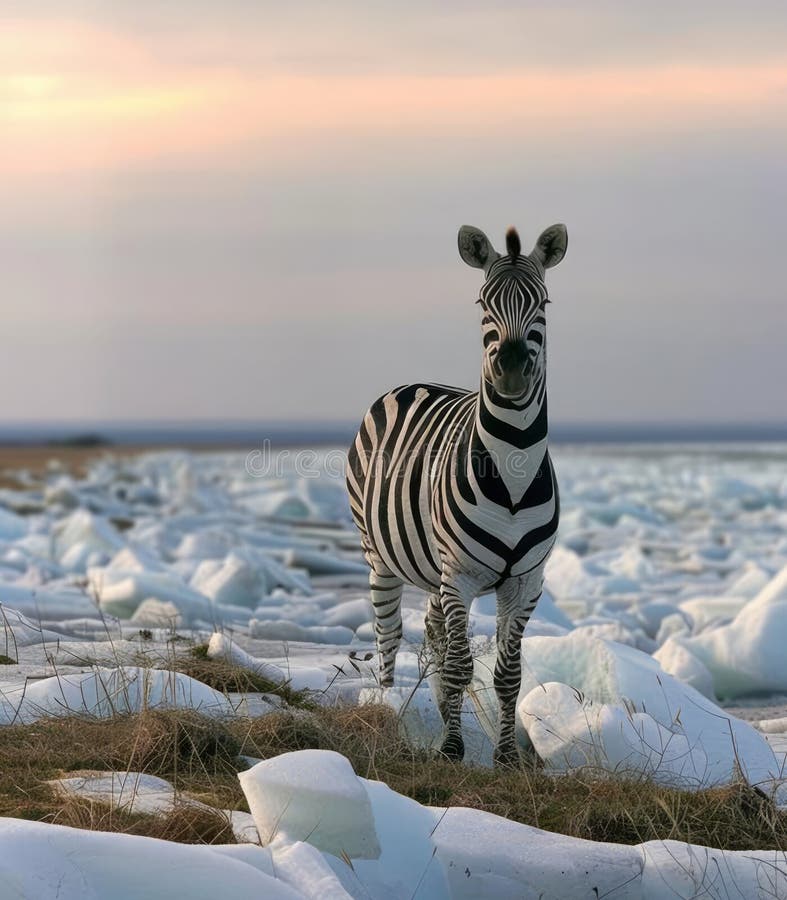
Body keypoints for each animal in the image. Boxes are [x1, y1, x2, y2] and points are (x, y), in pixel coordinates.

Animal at [346, 222, 567, 766]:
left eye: (543, 302)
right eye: (483, 302)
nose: (511, 369)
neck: (513, 467)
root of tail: (413, 383)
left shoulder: (526, 582)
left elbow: (506, 675)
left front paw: (506, 757)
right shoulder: (461, 575)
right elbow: (460, 665)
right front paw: (451, 749)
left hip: (434, 573)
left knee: (432, 633)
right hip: (380, 556)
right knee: (390, 637)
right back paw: (388, 709)